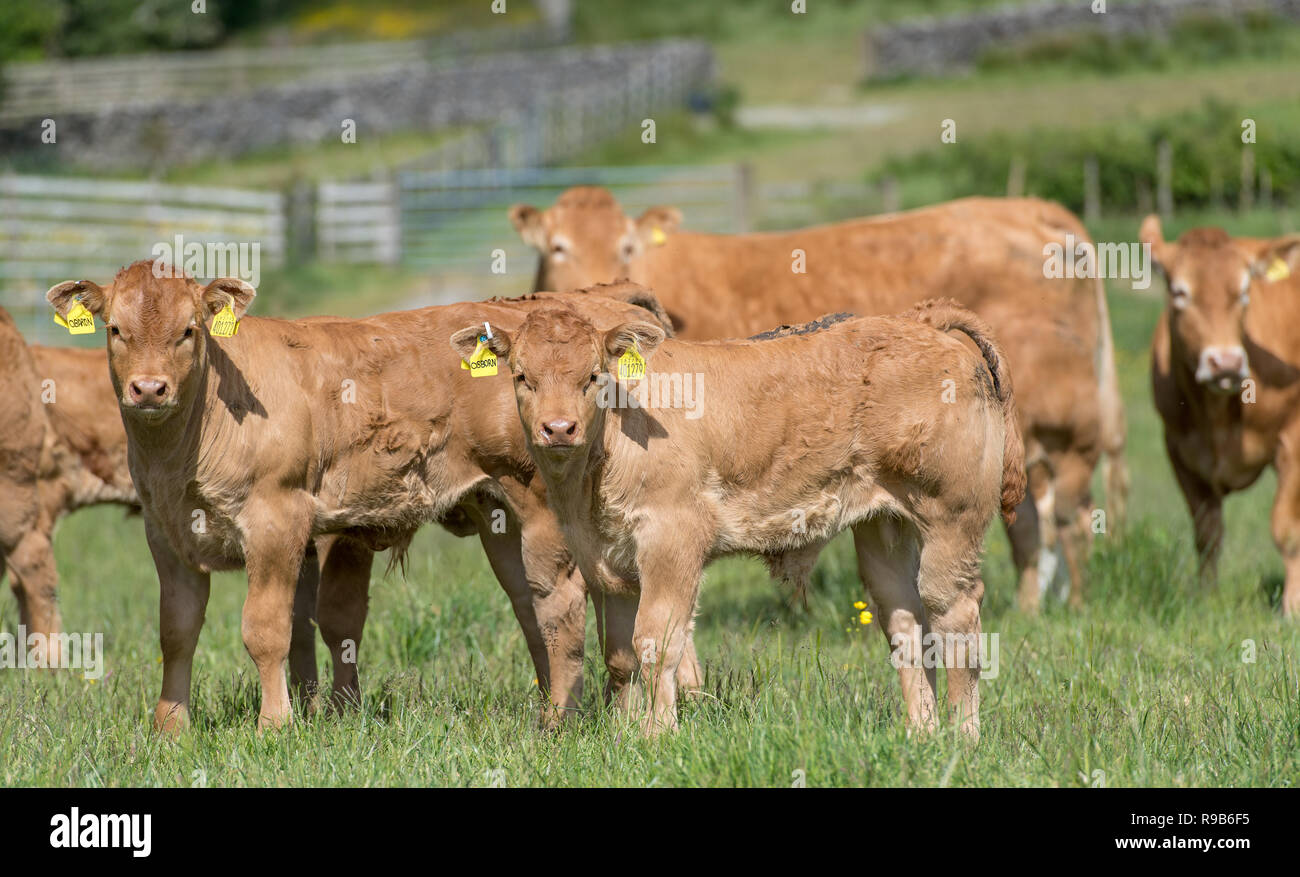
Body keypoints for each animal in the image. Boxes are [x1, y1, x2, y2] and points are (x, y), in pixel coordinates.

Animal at [46, 262, 684, 732]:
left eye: (188, 331)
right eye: (115, 330)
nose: (149, 388)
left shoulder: (277, 521)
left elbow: (267, 629)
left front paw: (274, 725)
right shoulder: (167, 534)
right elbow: (177, 632)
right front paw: (169, 729)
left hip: (542, 506)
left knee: (563, 607)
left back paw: (564, 718)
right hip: (501, 513)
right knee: (542, 608)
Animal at [457, 298, 1026, 737]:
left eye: (592, 376)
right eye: (522, 377)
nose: (558, 428)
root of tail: (920, 320)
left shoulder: (672, 541)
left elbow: (656, 641)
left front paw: (657, 736)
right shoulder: (604, 560)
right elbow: (619, 655)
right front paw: (623, 735)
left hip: (952, 520)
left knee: (955, 617)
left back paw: (963, 736)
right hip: (885, 525)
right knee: (904, 620)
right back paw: (921, 732)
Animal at [509, 187, 1128, 611]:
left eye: (626, 245)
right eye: (557, 246)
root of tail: (1034, 208)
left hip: (1064, 433)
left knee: (1067, 515)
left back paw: (1068, 605)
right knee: (1031, 523)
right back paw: (1032, 605)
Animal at [1141, 215, 1300, 616]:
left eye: (1244, 292)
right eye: (1180, 292)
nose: (1225, 362)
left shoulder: (1293, 438)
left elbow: (1287, 528)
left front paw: (1292, 606)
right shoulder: (1178, 451)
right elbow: (1207, 533)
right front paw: (1207, 599)